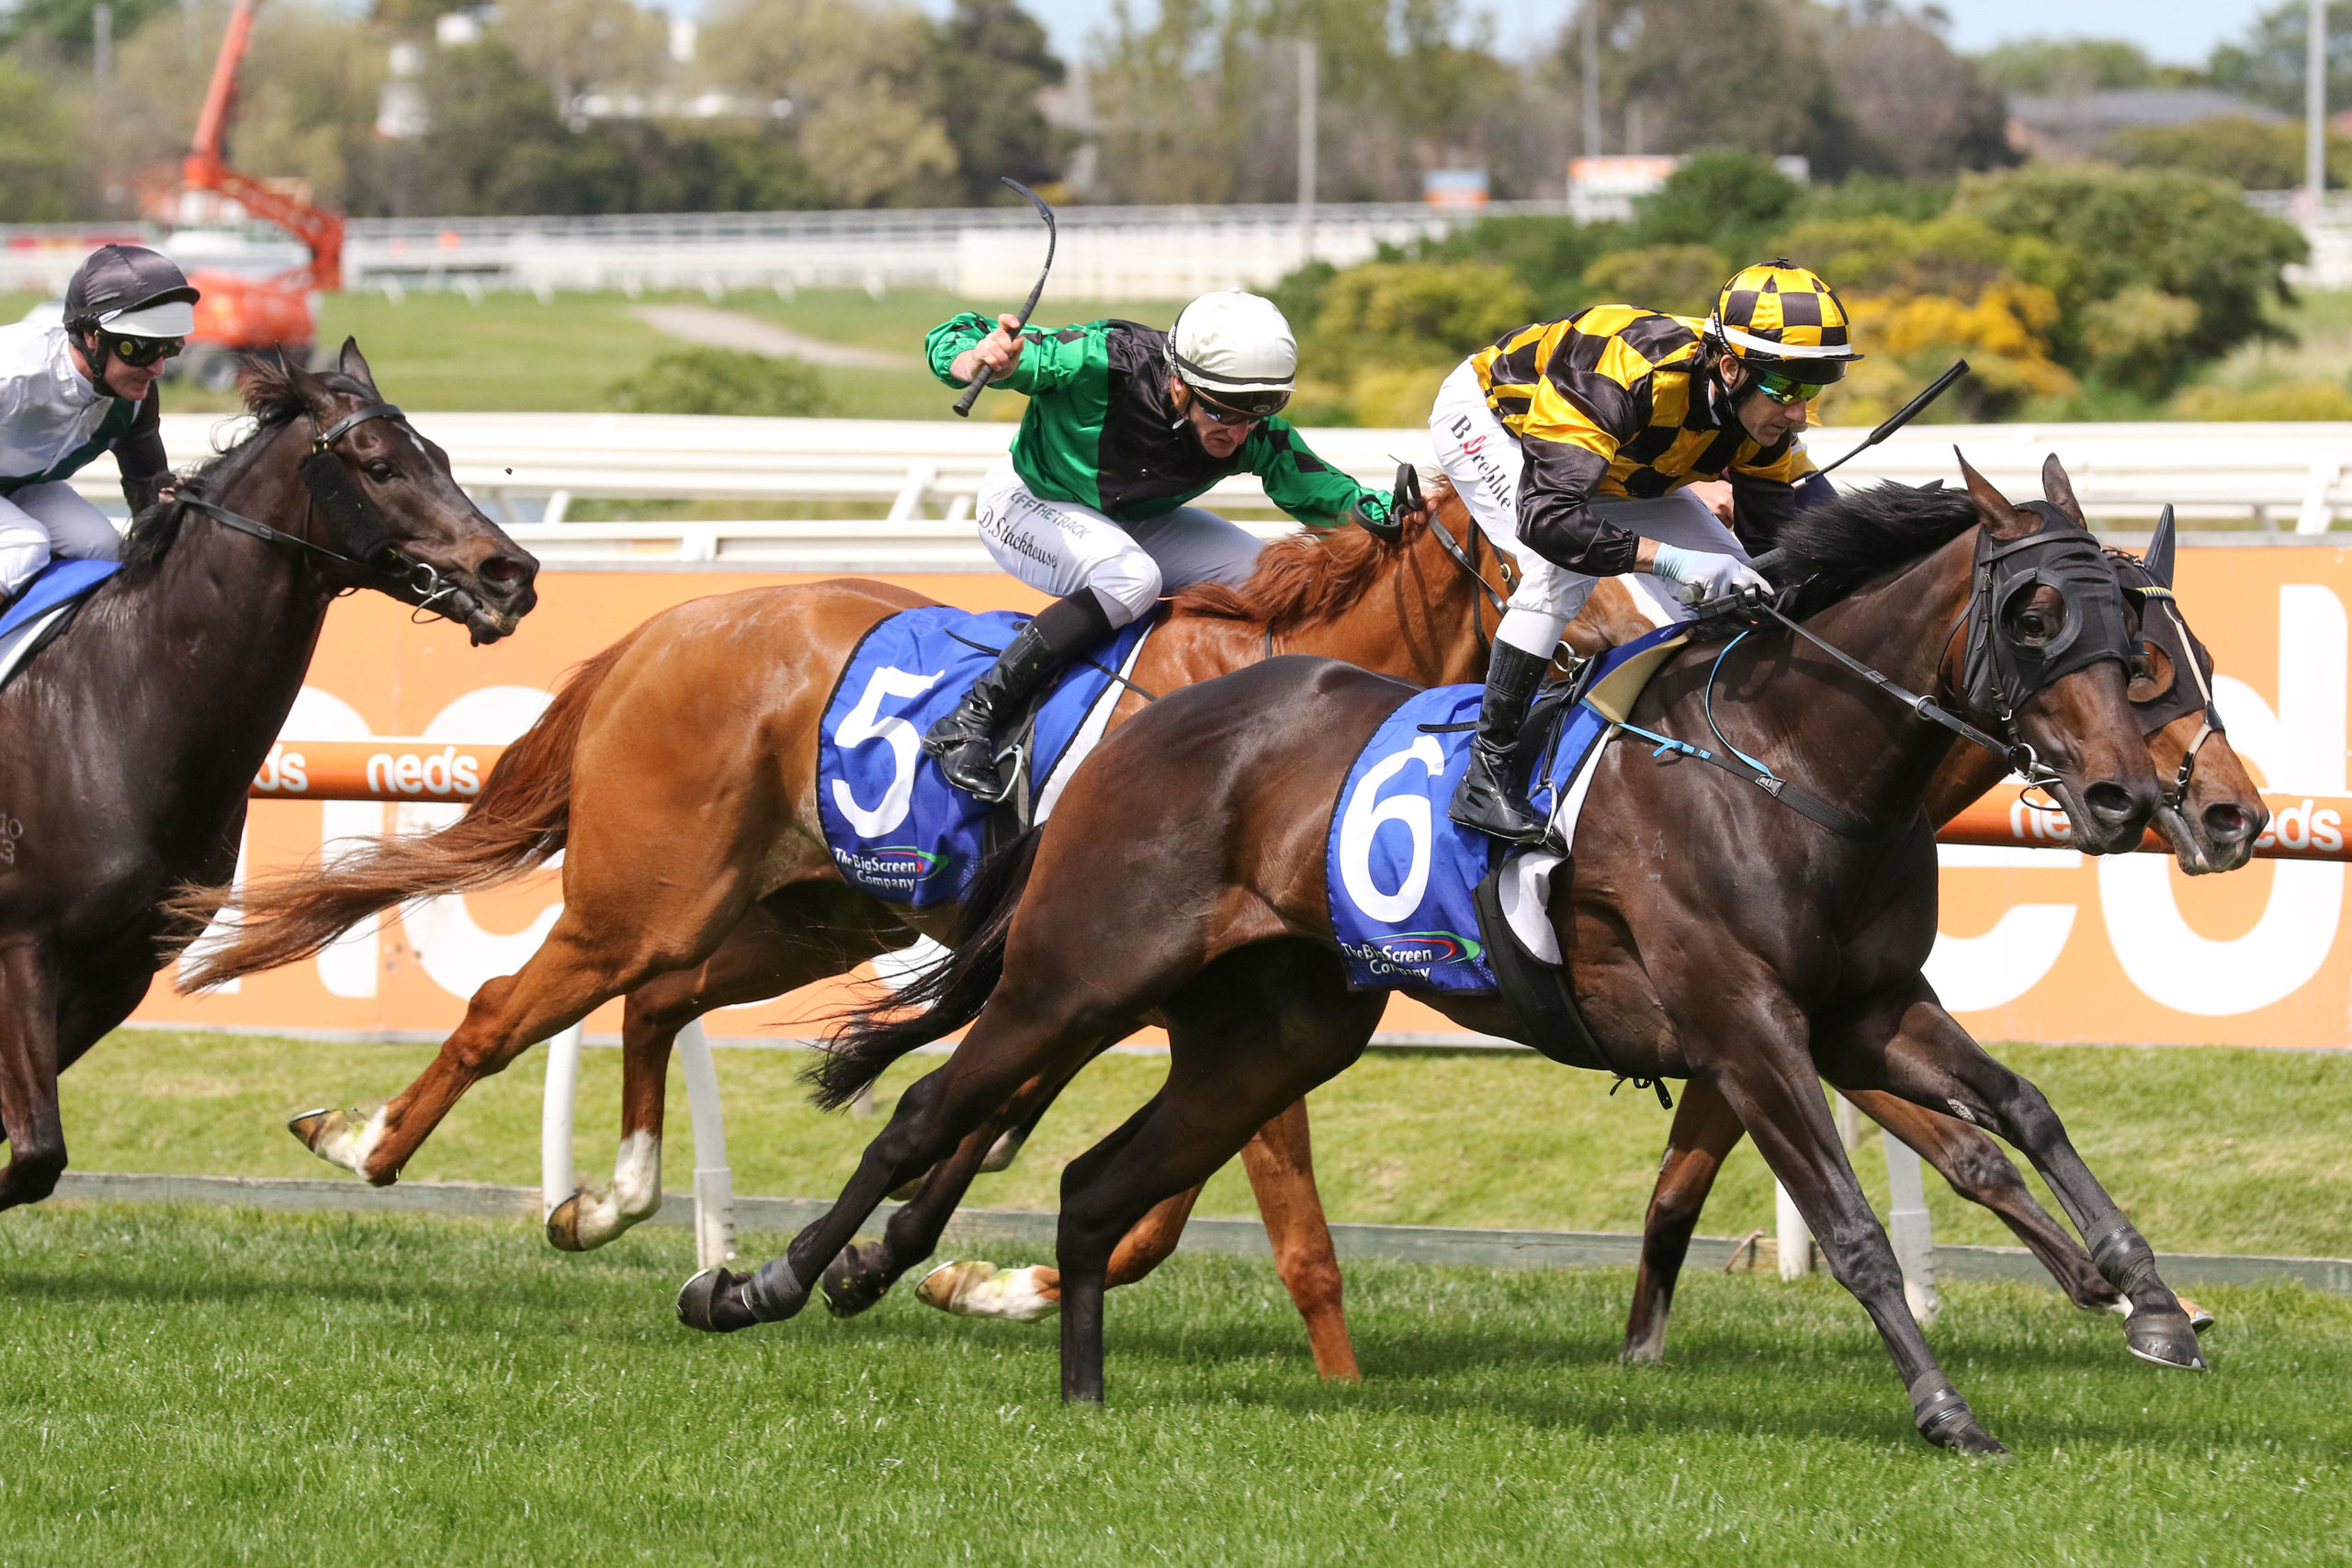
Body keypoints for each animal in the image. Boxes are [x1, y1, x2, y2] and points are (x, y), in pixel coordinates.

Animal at [0, 343, 537, 1210]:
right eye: (380, 465)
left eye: (444, 457)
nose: (510, 572)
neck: (109, 704)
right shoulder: (23, 944)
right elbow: (36, 1151)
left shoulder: (118, 968)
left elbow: (27, 1149)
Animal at [175, 478, 1516, 1377]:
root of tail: (665, 629)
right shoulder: (1155, 984)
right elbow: (1232, 1202)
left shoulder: (1134, 994)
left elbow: (1096, 1169)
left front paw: (949, 1272)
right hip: (641, 900)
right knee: (510, 1009)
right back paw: (368, 1142)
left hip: (807, 916)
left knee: (657, 1002)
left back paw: (607, 1202)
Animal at [685, 458, 2201, 1456]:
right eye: (2035, 618)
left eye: (2136, 631)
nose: (2124, 795)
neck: (1789, 758)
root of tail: (1135, 727)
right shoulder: (1745, 1021)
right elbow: (1850, 1222)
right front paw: (1947, 1406)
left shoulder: (1868, 1009)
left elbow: (2025, 1111)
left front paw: (2154, 1303)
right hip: (1084, 972)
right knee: (928, 1110)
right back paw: (759, 1284)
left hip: (1271, 1028)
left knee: (1091, 1178)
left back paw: (1082, 1396)